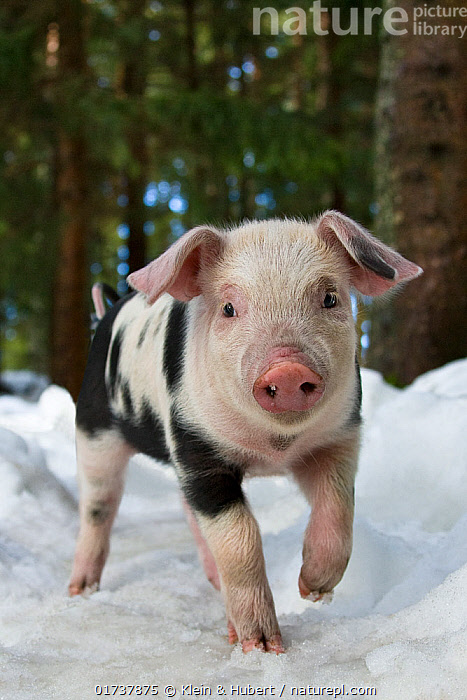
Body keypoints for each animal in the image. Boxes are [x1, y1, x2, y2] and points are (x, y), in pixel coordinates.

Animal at [69, 210, 422, 653]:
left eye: (330, 298)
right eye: (228, 308)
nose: (287, 369)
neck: (273, 449)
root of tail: (105, 312)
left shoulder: (338, 438)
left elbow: (338, 508)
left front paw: (313, 591)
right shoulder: (196, 445)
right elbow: (240, 537)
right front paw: (263, 647)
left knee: (186, 508)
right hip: (94, 430)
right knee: (99, 506)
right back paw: (80, 591)